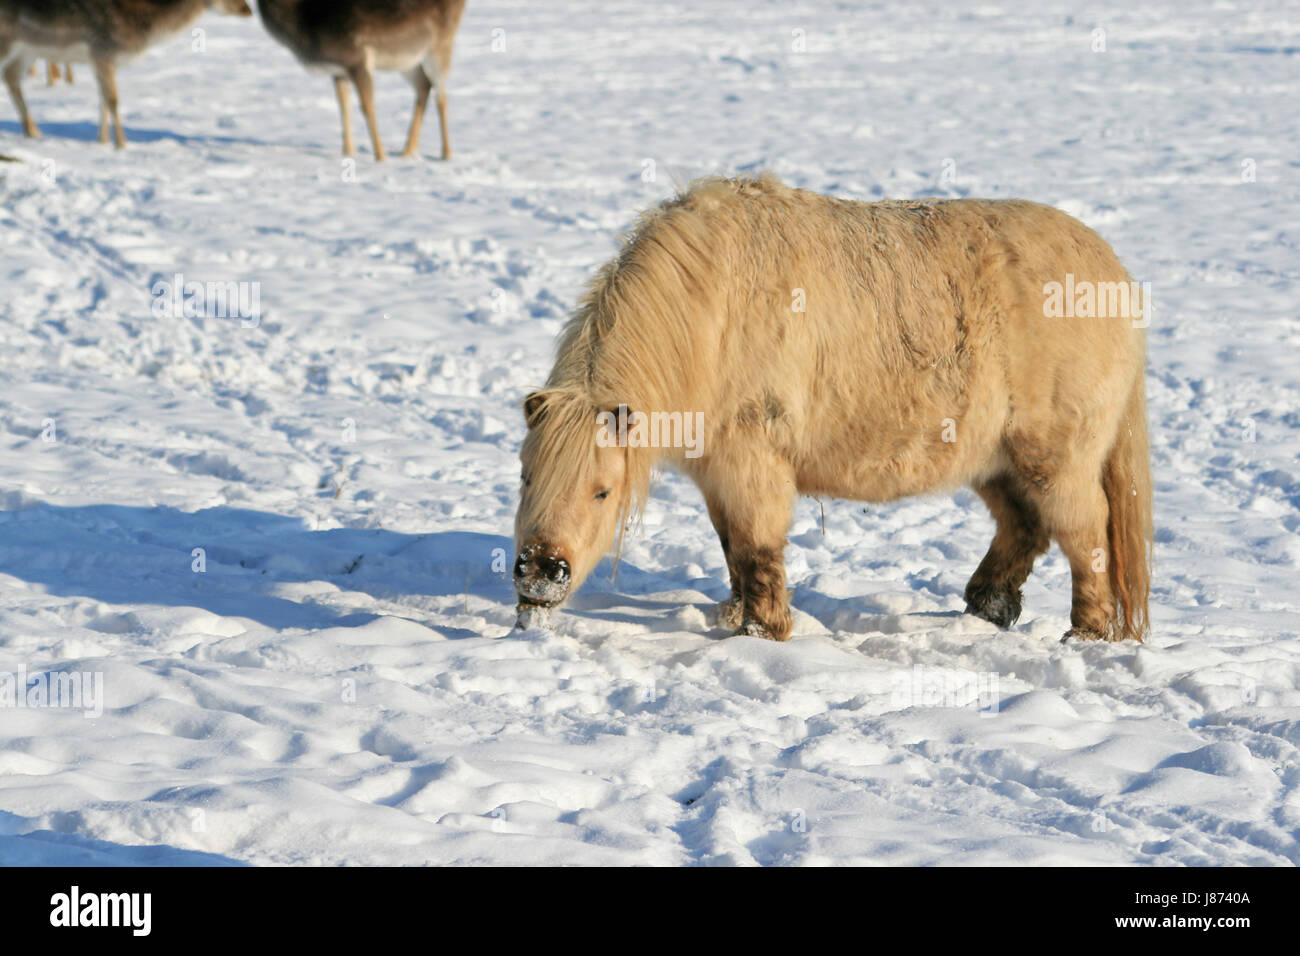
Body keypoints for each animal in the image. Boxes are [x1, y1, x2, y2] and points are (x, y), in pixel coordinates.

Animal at [513, 174, 1152, 644]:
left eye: (602, 492)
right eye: (524, 479)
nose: (540, 573)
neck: (710, 317)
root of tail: (1114, 275)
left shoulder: (753, 461)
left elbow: (756, 545)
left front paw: (762, 630)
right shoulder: (717, 472)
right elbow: (731, 546)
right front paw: (734, 614)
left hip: (1055, 459)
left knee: (1086, 531)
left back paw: (1085, 633)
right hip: (994, 459)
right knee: (1025, 526)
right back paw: (986, 606)